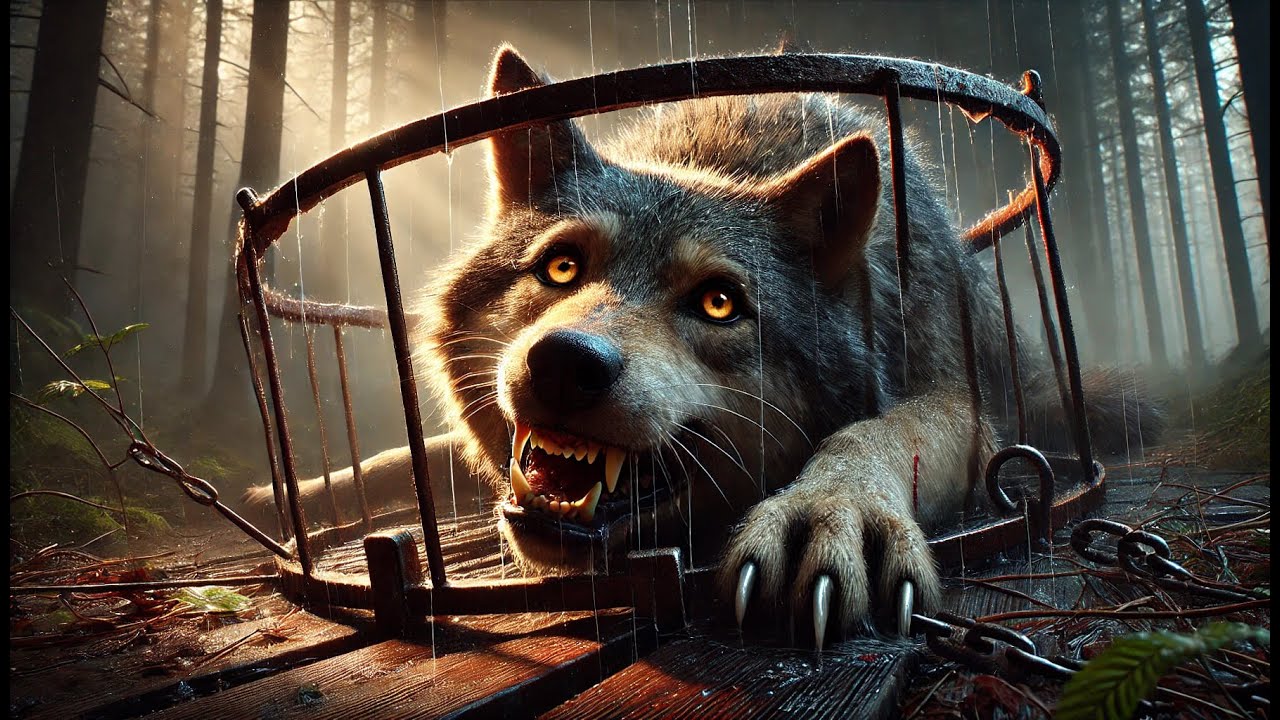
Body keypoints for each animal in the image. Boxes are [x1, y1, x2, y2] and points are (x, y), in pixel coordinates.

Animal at [248, 46, 1159, 643]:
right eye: (562, 266)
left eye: (719, 303)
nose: (564, 363)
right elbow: (403, 461)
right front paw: (288, 497)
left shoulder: (958, 407)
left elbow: (877, 432)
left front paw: (826, 509)